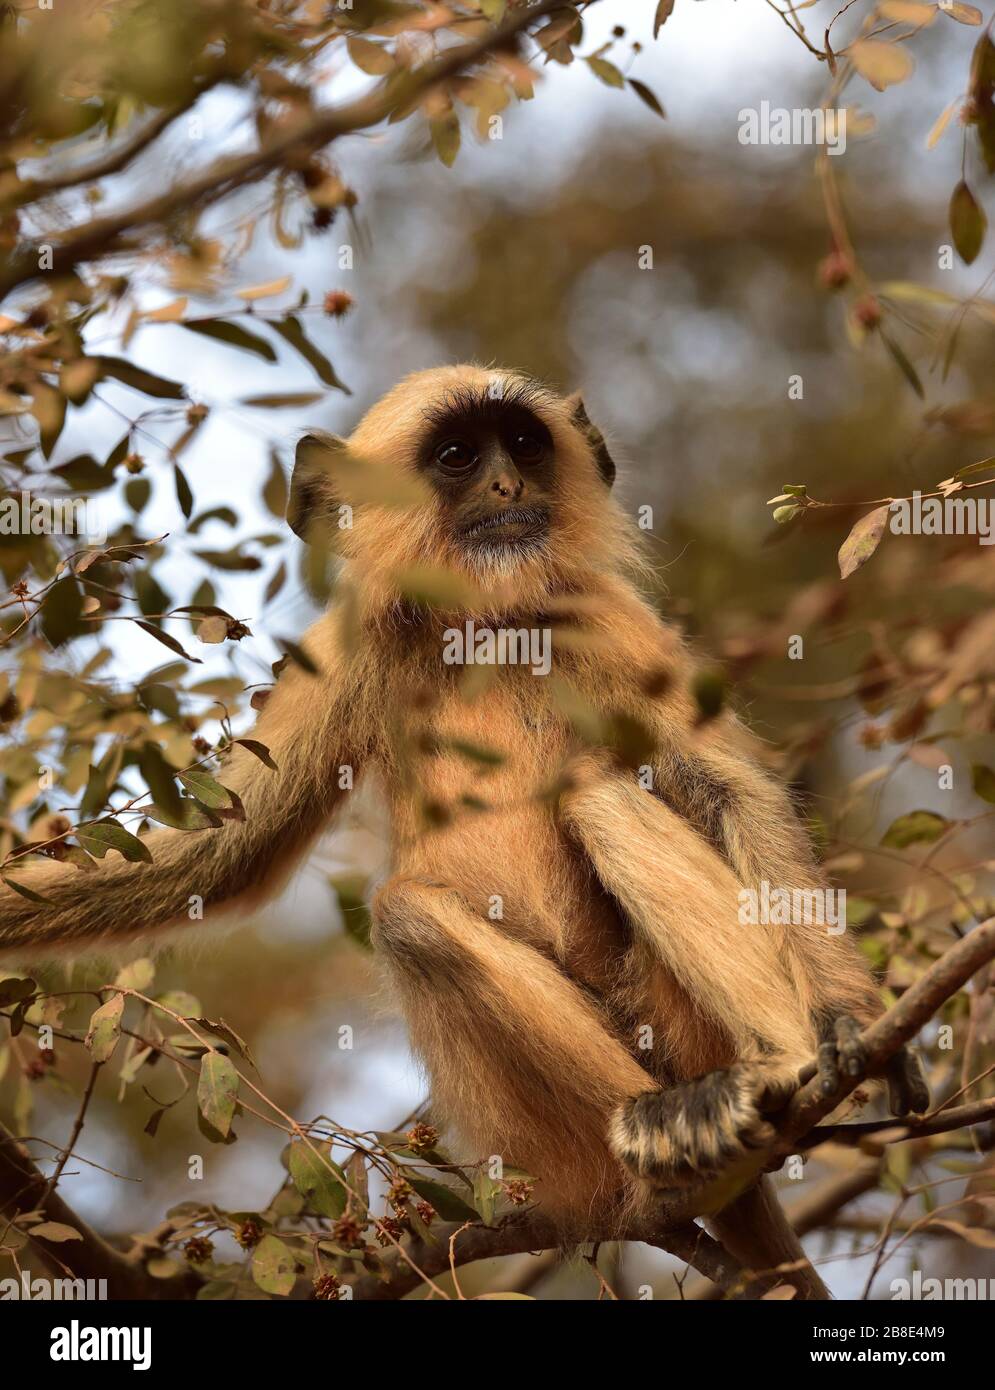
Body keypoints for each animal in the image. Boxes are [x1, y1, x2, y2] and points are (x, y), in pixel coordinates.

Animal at [0, 364, 928, 1299]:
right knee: (415, 914)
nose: (507, 487)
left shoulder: (603, 616)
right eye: (457, 457)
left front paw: (848, 1021)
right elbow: (220, 857)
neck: (482, 622)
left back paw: (774, 1070)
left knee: (591, 799)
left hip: (674, 1022)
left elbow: (730, 793)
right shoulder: (349, 645)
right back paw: (677, 1128)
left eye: (521, 445)